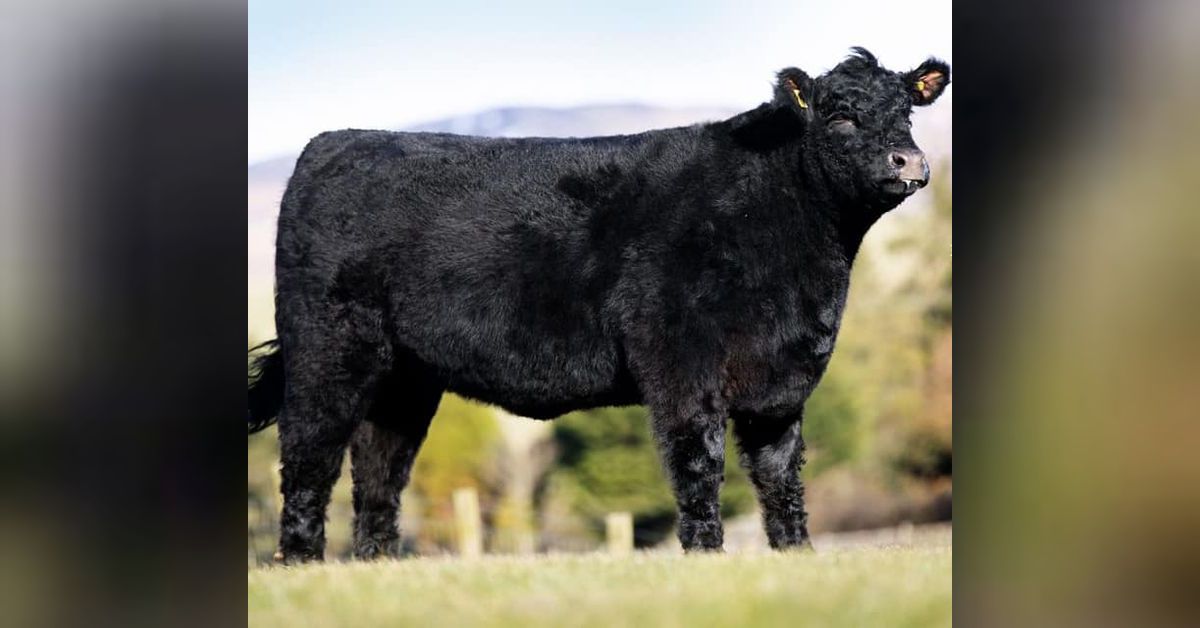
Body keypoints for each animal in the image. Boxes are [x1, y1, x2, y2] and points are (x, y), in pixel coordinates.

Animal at [248, 47, 949, 562]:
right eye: (839, 117)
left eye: (908, 114)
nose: (910, 160)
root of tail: (332, 142)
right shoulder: (681, 362)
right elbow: (699, 460)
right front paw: (706, 555)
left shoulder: (780, 380)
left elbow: (782, 474)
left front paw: (796, 555)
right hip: (328, 348)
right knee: (309, 454)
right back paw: (302, 561)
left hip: (405, 377)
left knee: (379, 467)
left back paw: (379, 564)